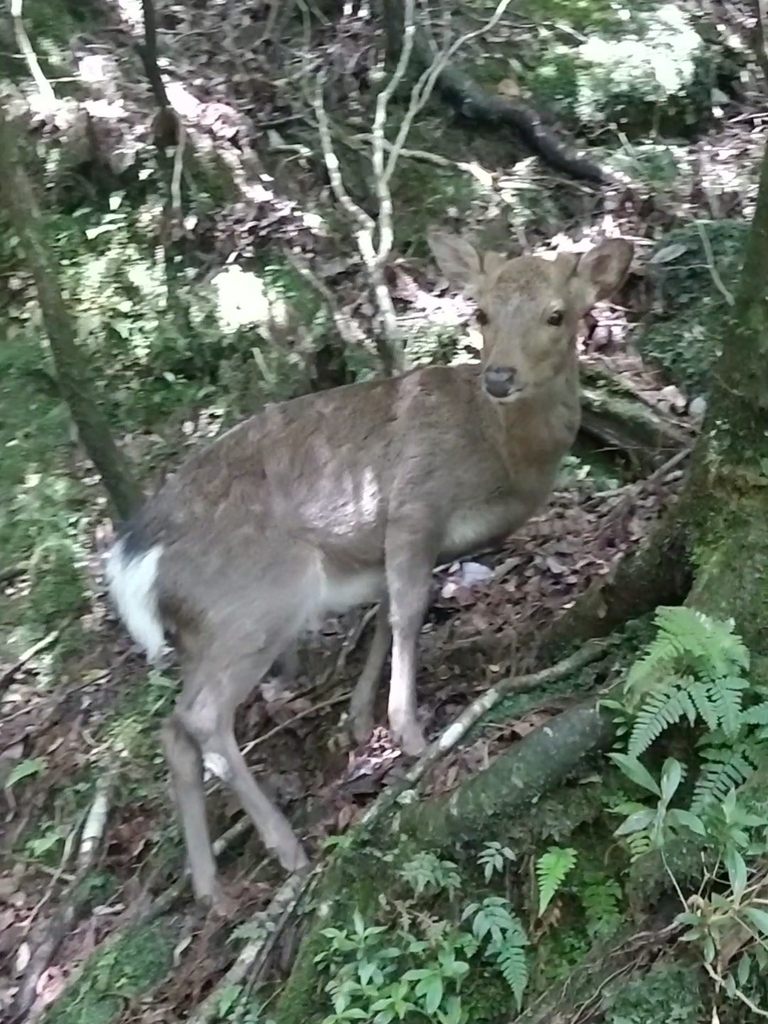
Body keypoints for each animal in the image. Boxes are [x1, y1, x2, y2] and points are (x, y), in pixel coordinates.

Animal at [105, 229, 633, 908]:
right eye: (482, 312)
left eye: (556, 315)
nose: (500, 376)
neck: (500, 457)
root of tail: (131, 562)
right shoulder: (414, 505)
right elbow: (408, 613)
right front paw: (407, 733)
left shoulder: (402, 544)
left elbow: (386, 615)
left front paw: (359, 721)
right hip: (256, 602)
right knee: (203, 720)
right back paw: (288, 850)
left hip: (205, 629)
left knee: (174, 728)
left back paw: (210, 889)